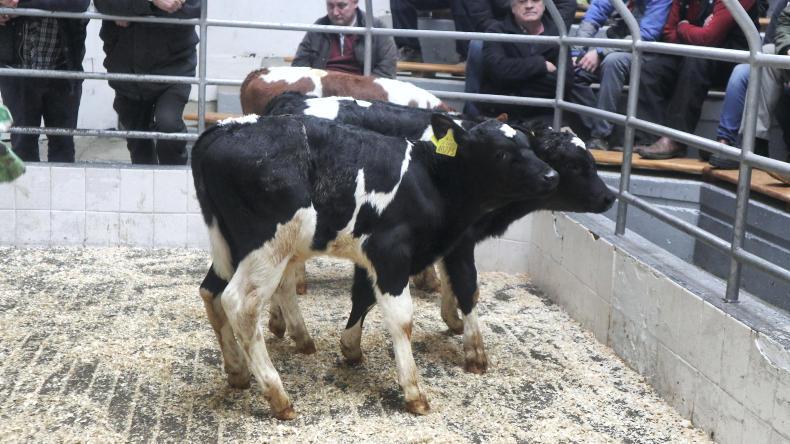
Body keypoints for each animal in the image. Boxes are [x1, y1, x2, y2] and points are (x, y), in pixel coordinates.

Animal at [191, 113, 559, 419]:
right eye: (502, 154)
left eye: (529, 146)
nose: (551, 174)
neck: (430, 180)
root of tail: (225, 128)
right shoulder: (390, 252)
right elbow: (402, 318)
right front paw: (414, 392)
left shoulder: (375, 257)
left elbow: (363, 297)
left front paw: (351, 348)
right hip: (267, 246)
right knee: (241, 304)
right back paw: (279, 397)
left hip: (233, 248)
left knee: (211, 291)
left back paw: (238, 370)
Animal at [259, 94, 616, 373]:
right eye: (575, 164)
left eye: (591, 160)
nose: (609, 197)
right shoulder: (455, 241)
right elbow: (468, 286)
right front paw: (473, 348)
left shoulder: (449, 238)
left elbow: (450, 281)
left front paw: (451, 318)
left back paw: (280, 321)